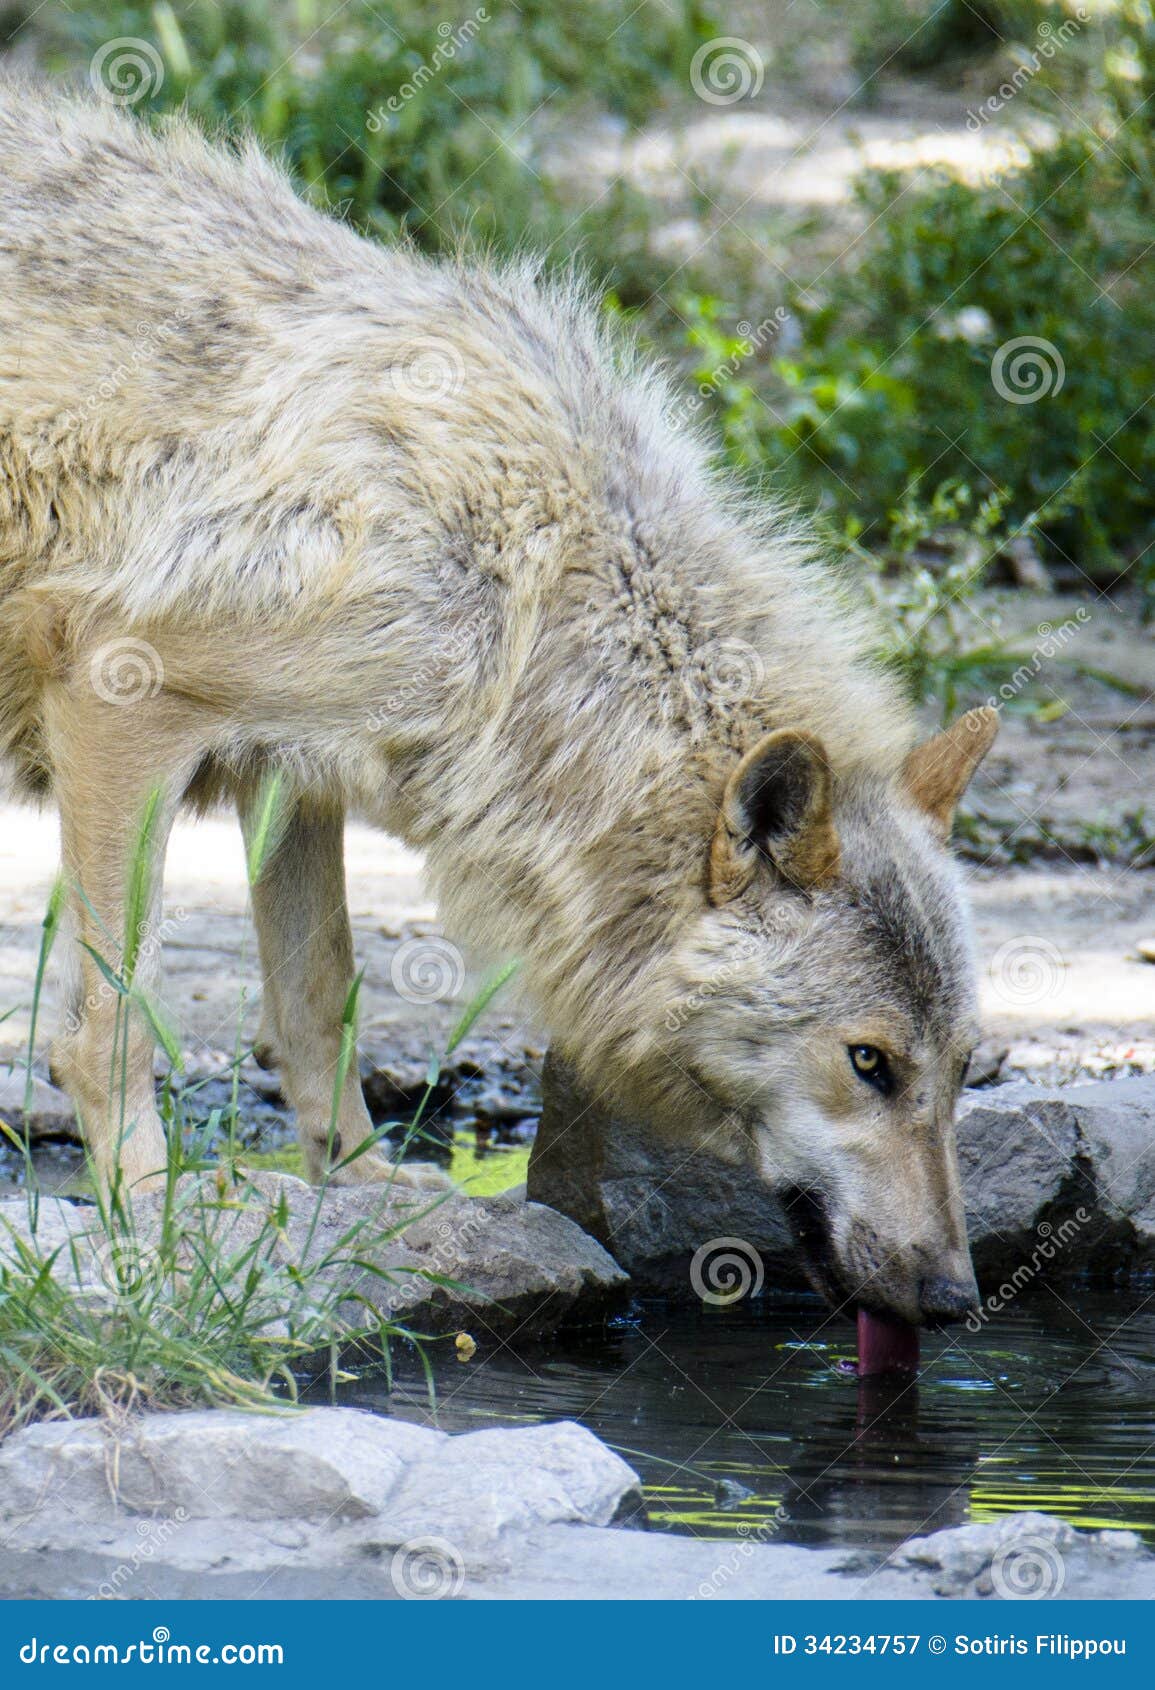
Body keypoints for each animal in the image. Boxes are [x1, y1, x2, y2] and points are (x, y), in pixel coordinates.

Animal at [0, 80, 996, 1326]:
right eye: (870, 1063)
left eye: (965, 1068)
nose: (956, 1297)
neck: (525, 590)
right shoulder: (118, 694)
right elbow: (114, 1020)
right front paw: (153, 1224)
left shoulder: (294, 773)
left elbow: (317, 992)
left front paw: (364, 1188)